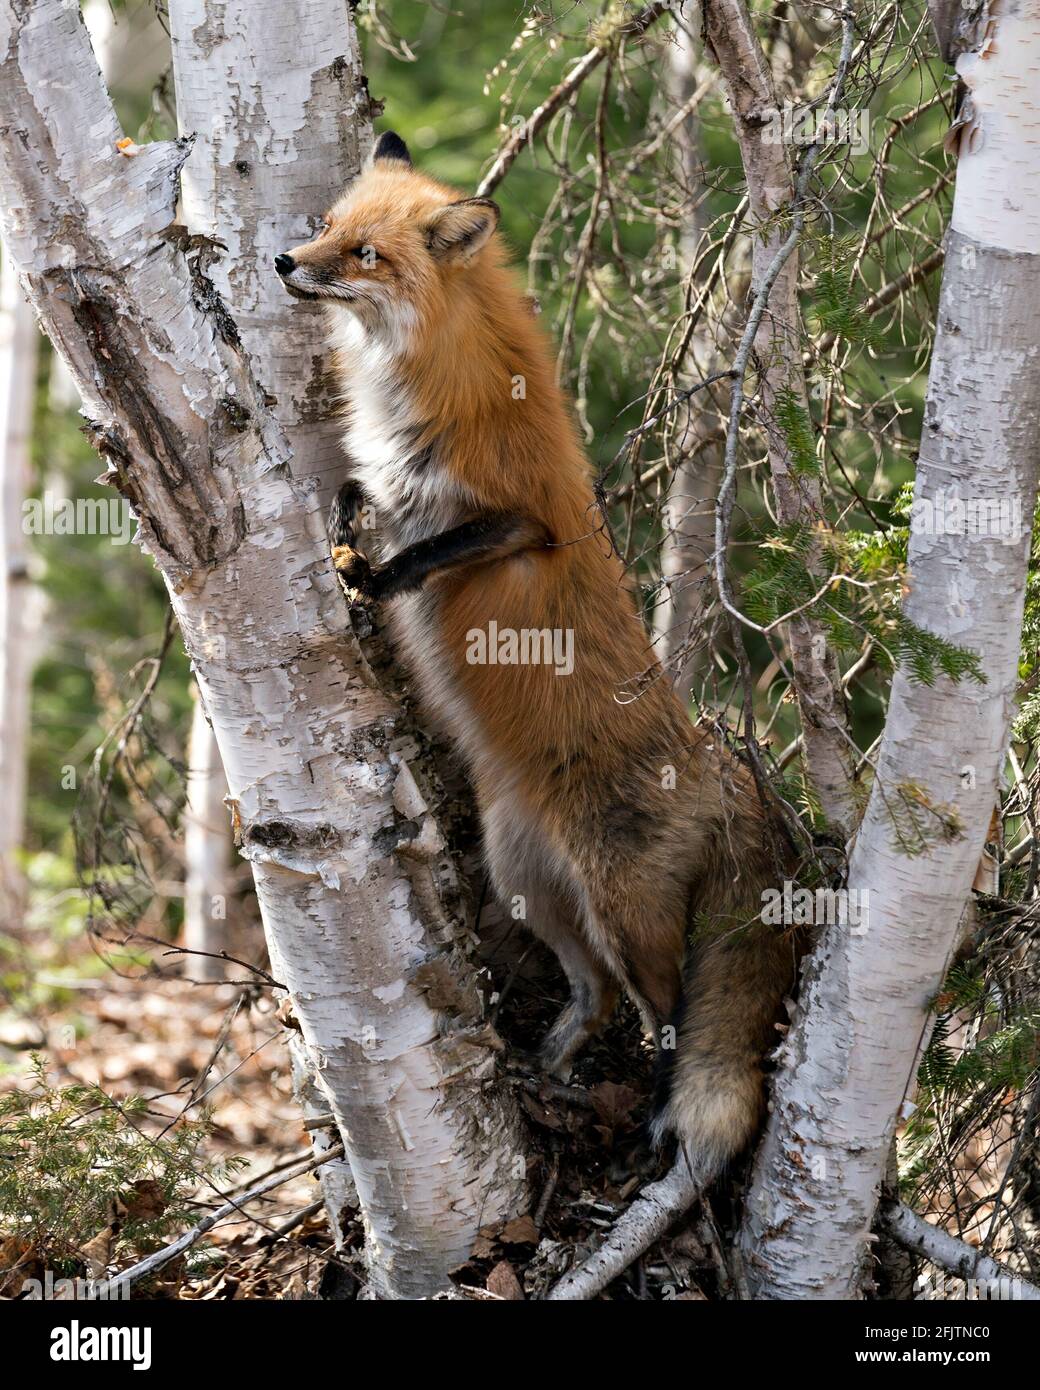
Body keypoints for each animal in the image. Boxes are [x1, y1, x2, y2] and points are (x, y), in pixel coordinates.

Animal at [275, 130, 800, 1184]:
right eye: (328, 228)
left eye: (365, 256)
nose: (281, 262)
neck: (427, 372)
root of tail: (722, 767)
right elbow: (366, 493)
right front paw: (349, 523)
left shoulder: (524, 521)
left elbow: (436, 550)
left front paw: (377, 579)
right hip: (529, 884)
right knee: (591, 999)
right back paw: (544, 1071)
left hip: (625, 915)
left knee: (664, 1015)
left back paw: (647, 1120)